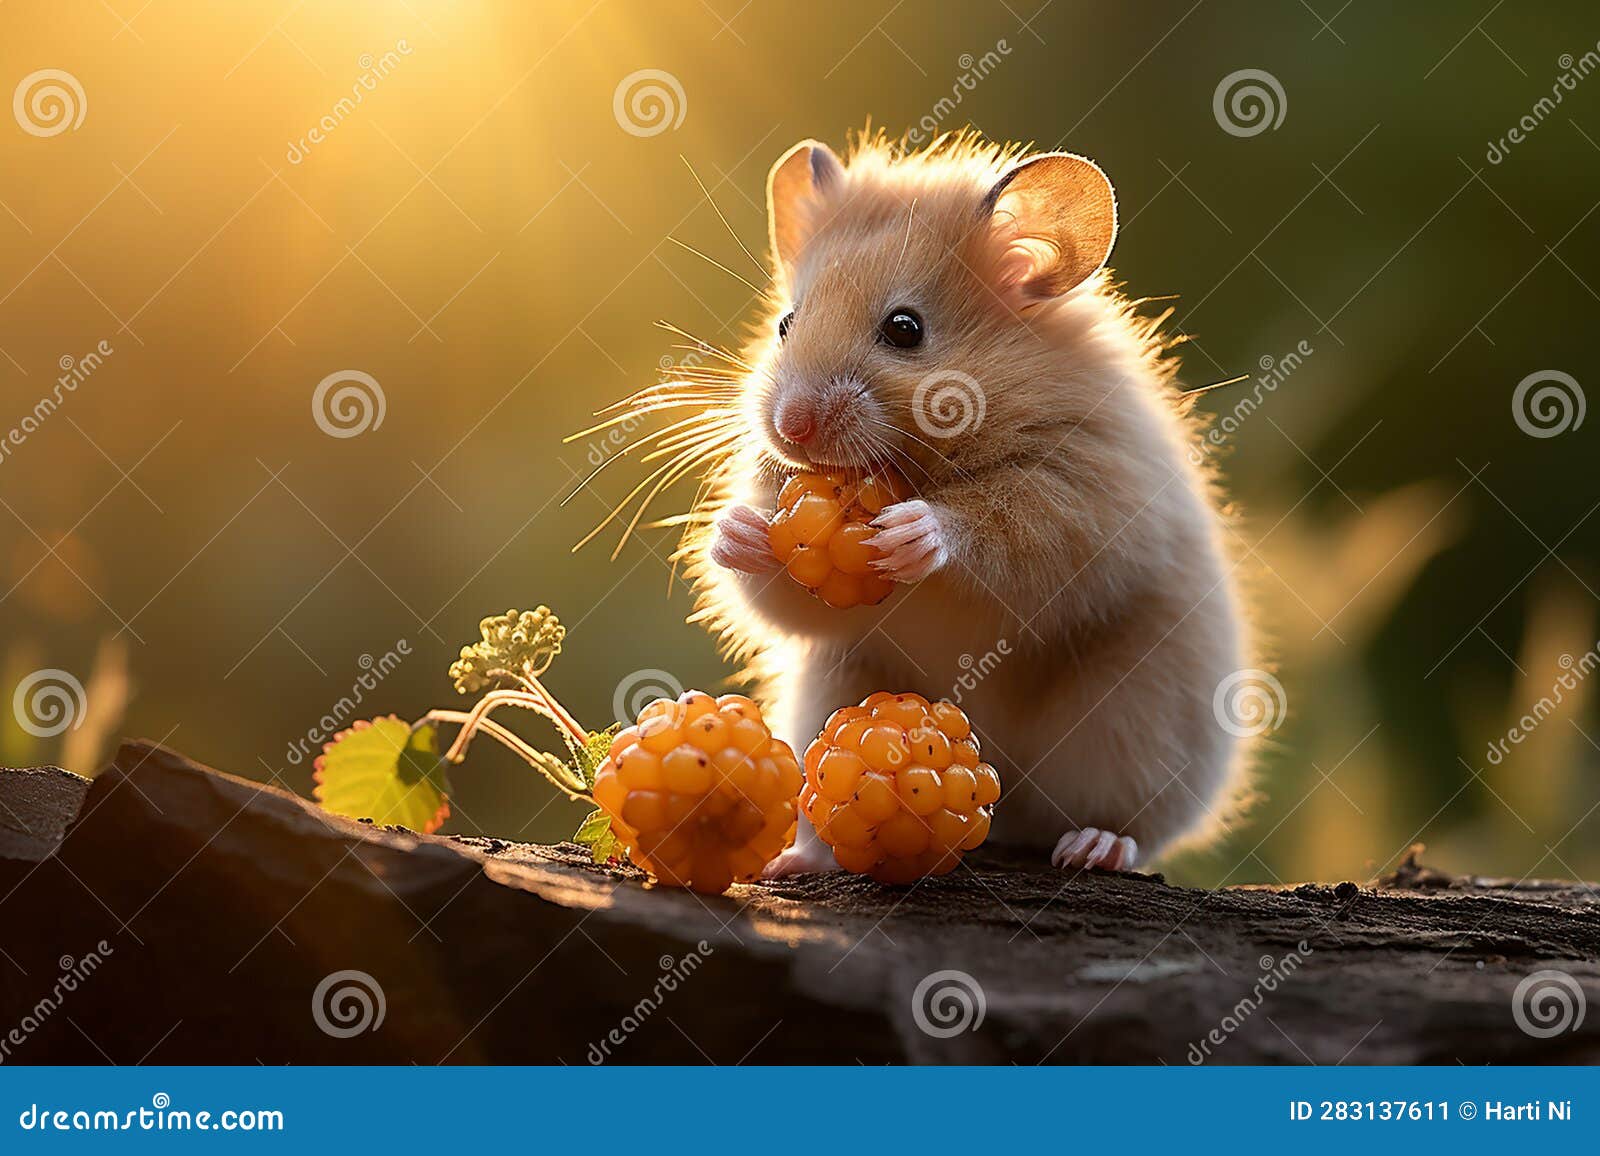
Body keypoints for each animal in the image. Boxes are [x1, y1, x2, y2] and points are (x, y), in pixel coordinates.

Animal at [682, 131, 1253, 877]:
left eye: (904, 329)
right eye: (784, 323)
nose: (792, 427)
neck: (921, 465)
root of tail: (1003, 812)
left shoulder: (1088, 495)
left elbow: (1002, 528)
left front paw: (915, 533)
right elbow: (776, 597)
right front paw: (739, 532)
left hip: (1137, 724)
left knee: (1134, 826)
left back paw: (1093, 848)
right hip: (829, 691)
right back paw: (799, 861)